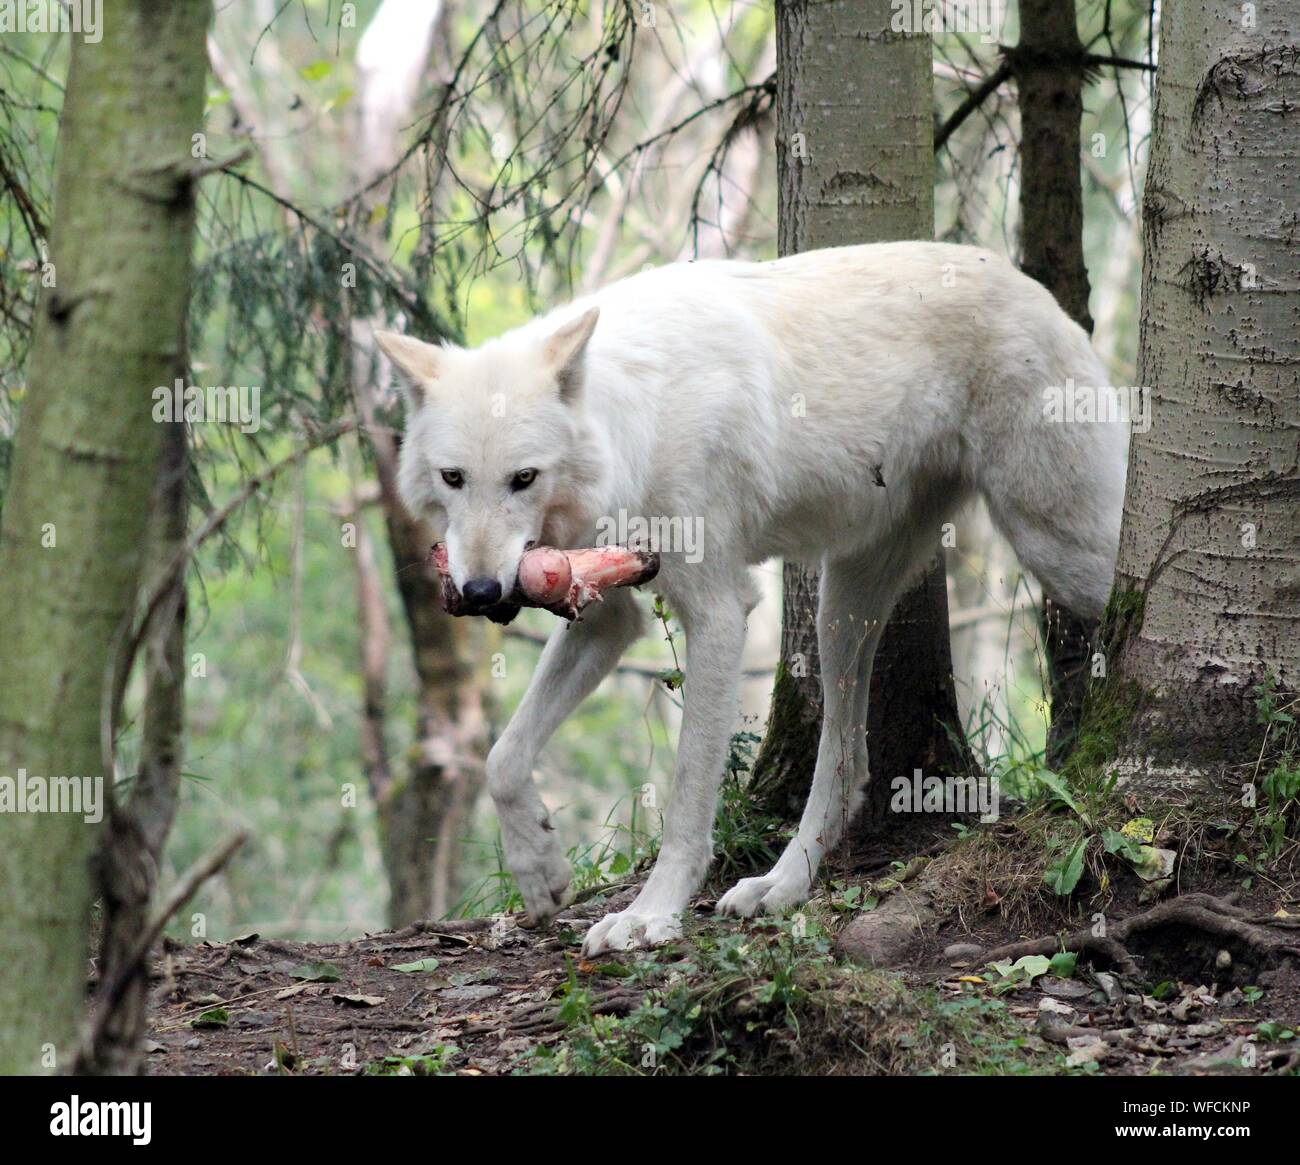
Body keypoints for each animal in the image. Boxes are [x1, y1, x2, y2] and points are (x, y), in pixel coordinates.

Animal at [375, 241, 1128, 956]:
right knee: (849, 765)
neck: (636, 420)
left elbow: (686, 799)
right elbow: (503, 758)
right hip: (840, 606)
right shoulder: (608, 615)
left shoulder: (717, 613)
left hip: (1058, 547)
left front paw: (648, 917)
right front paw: (540, 870)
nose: (481, 592)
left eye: (524, 478)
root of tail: (1041, 295)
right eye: (453, 477)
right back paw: (780, 886)